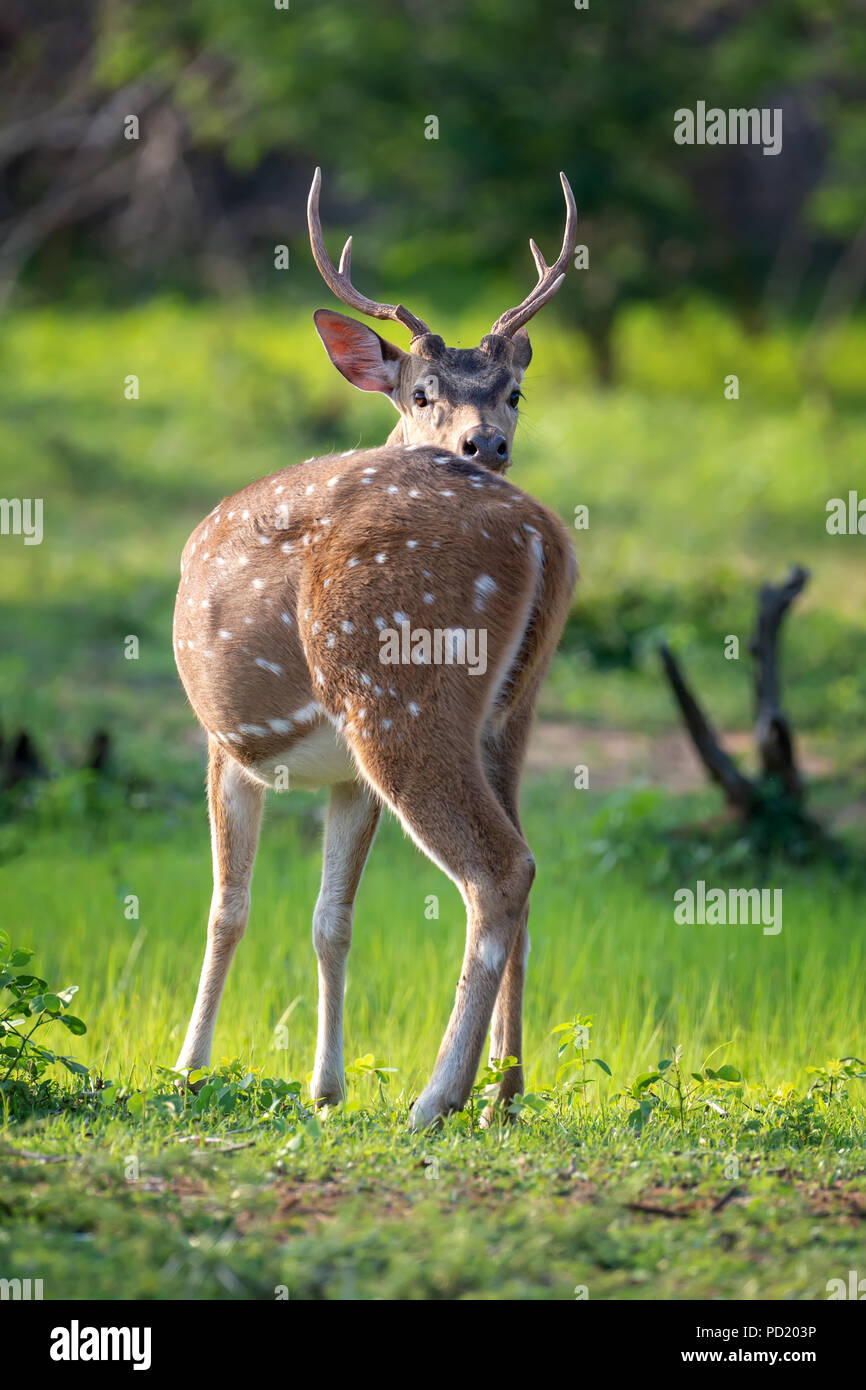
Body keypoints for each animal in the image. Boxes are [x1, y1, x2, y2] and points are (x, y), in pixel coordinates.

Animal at [172, 168, 578, 1127]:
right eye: (419, 390)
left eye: (515, 391)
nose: (485, 441)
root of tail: (546, 535)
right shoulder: (342, 779)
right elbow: (331, 919)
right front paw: (325, 1088)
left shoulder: (225, 743)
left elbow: (226, 906)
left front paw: (188, 1068)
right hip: (509, 714)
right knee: (527, 861)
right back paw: (503, 1093)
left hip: (400, 693)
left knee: (501, 869)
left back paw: (437, 1099)